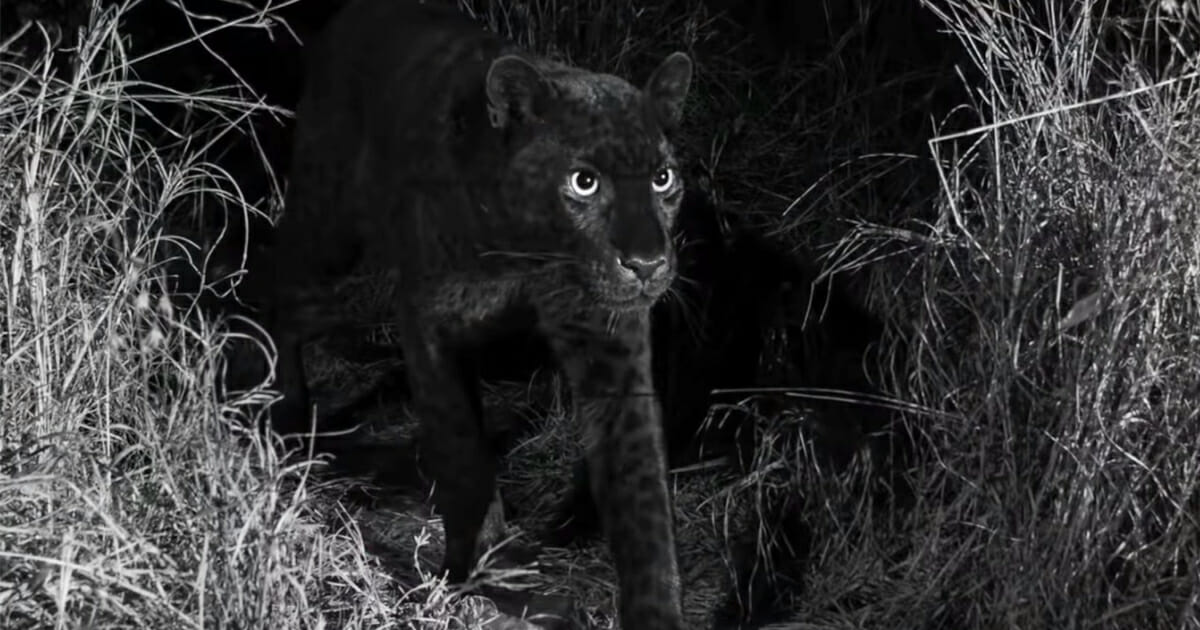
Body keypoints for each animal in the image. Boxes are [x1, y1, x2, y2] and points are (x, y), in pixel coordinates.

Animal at [243, 0, 694, 627]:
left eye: (663, 178)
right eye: (584, 182)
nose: (647, 263)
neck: (530, 256)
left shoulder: (612, 346)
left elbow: (642, 497)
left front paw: (657, 612)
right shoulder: (429, 319)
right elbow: (459, 443)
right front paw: (477, 568)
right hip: (329, 228)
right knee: (284, 281)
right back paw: (283, 408)